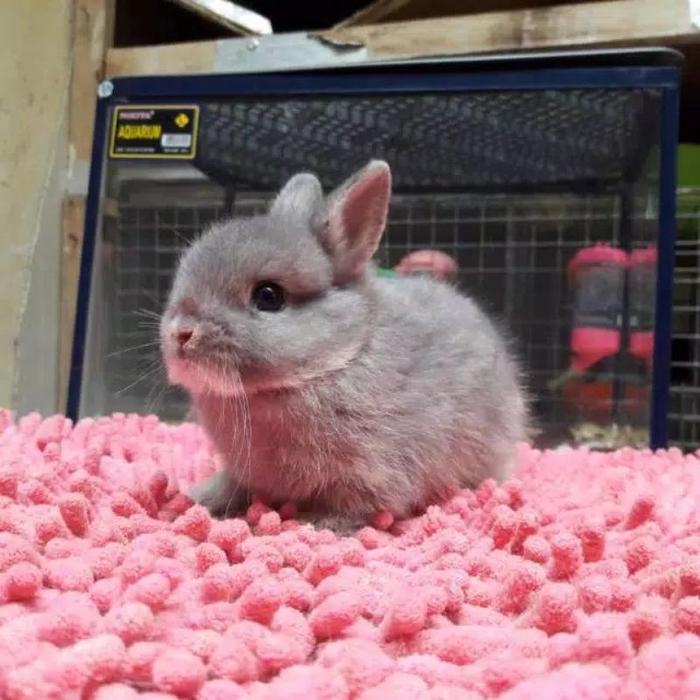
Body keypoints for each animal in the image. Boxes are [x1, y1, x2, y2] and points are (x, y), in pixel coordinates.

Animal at [160, 160, 528, 531]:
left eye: (269, 296)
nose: (181, 333)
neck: (333, 362)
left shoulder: (372, 467)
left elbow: (358, 504)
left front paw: (314, 522)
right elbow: (234, 485)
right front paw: (201, 498)